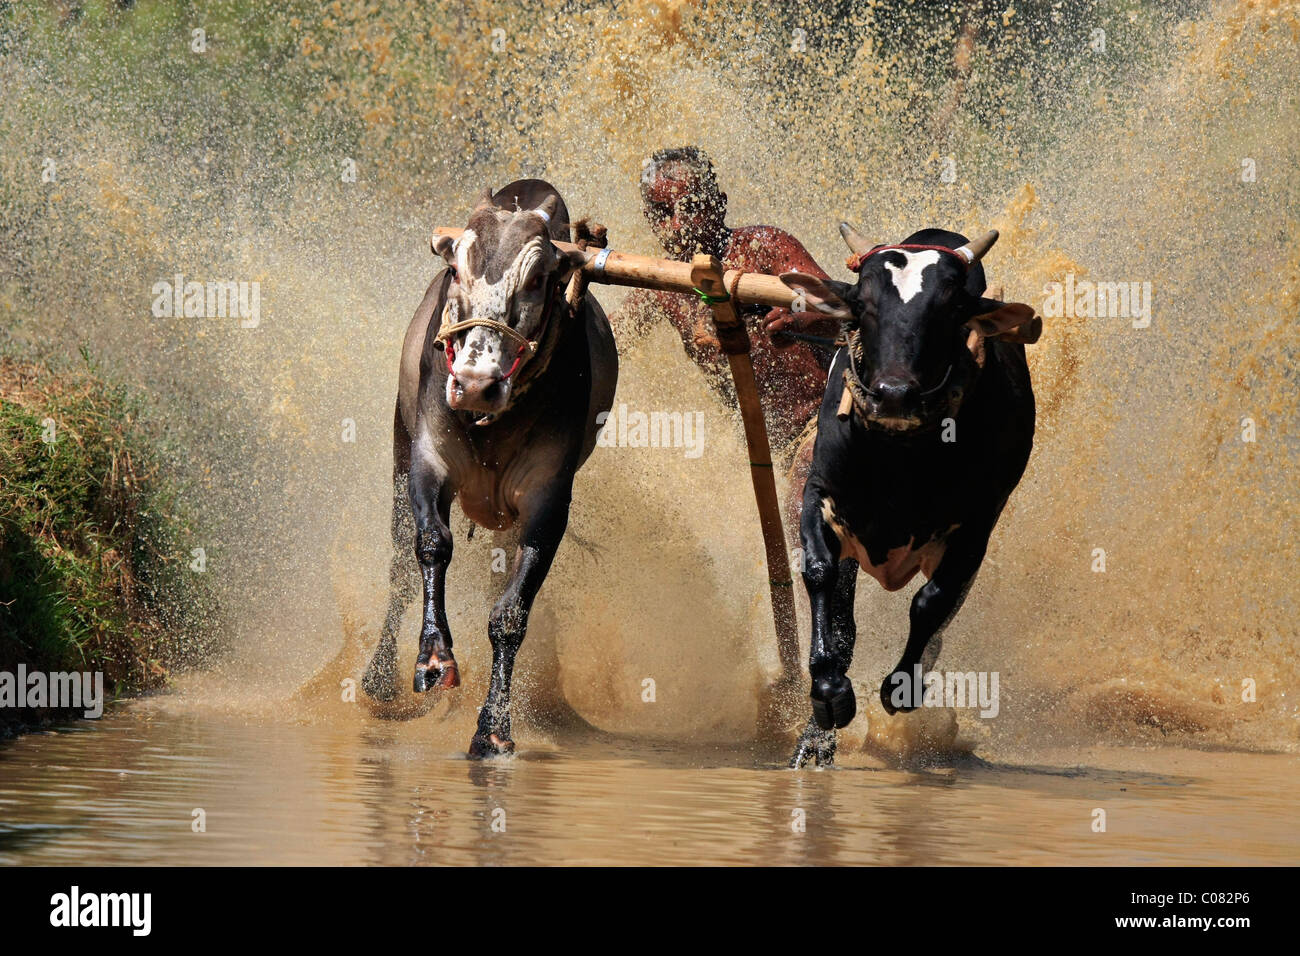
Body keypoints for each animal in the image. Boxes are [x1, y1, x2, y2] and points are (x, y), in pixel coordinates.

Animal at [361, 179, 618, 758]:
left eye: (540, 278)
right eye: (456, 269)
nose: (476, 384)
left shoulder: (548, 497)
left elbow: (510, 614)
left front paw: (494, 726)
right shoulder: (427, 459)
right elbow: (431, 546)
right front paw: (434, 658)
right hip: (397, 452)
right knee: (398, 567)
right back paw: (379, 679)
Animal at [774, 223, 1040, 768]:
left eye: (951, 308)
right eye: (863, 304)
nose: (894, 394)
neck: (899, 460)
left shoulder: (975, 529)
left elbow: (930, 605)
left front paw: (900, 688)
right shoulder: (818, 498)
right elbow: (820, 579)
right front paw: (829, 695)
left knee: (936, 622)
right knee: (845, 625)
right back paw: (815, 741)